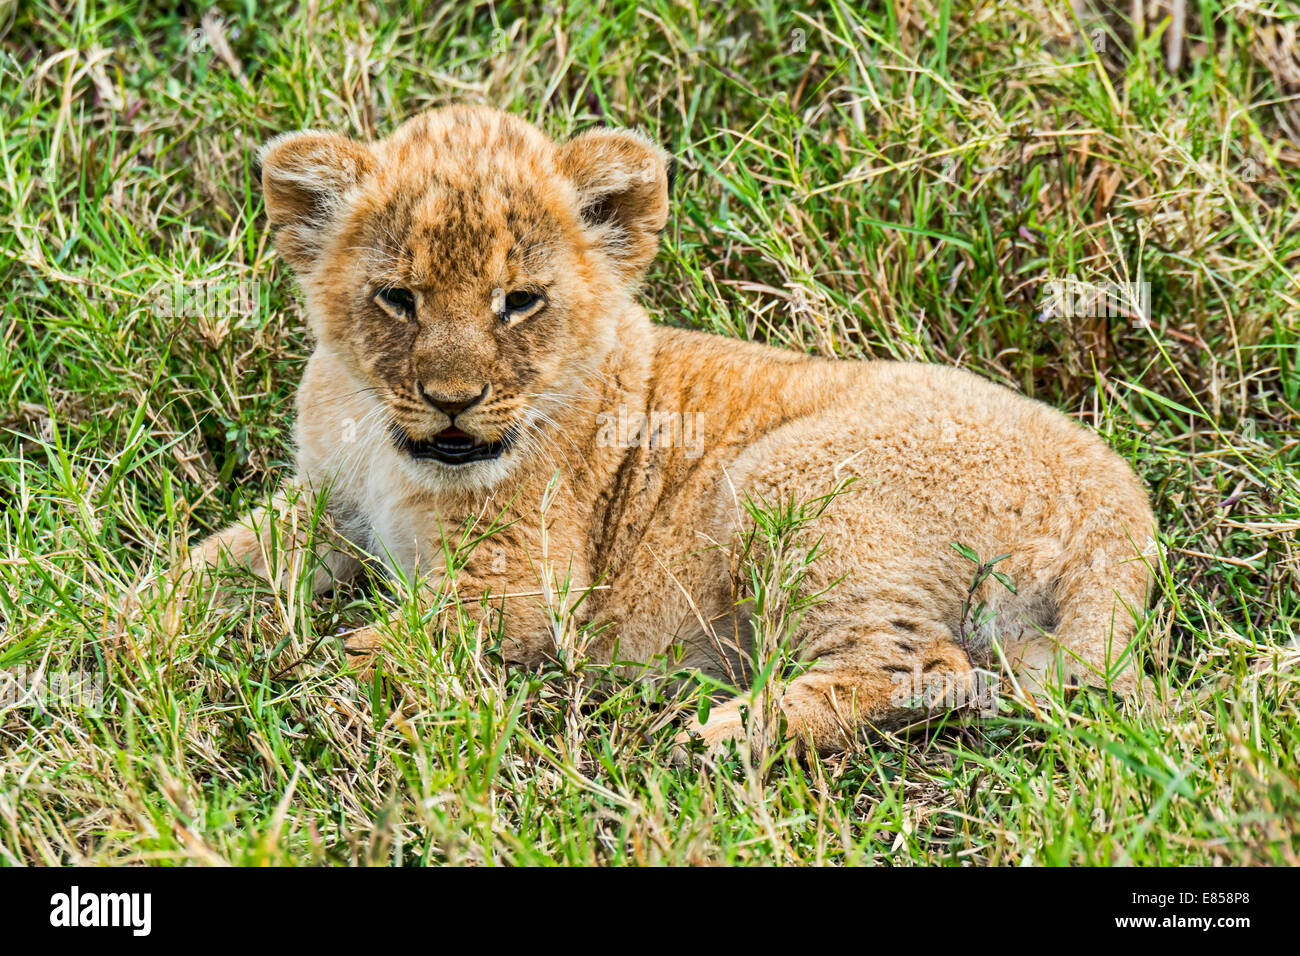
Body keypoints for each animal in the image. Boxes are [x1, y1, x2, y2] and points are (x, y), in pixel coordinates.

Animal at [175, 105, 1157, 759]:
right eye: (397, 299)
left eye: (518, 301)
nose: (453, 400)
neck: (385, 441)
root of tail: (1122, 505)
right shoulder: (327, 502)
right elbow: (214, 566)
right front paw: (151, 626)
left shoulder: (528, 592)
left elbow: (373, 651)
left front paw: (287, 677)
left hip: (785, 484)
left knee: (922, 666)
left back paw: (727, 732)